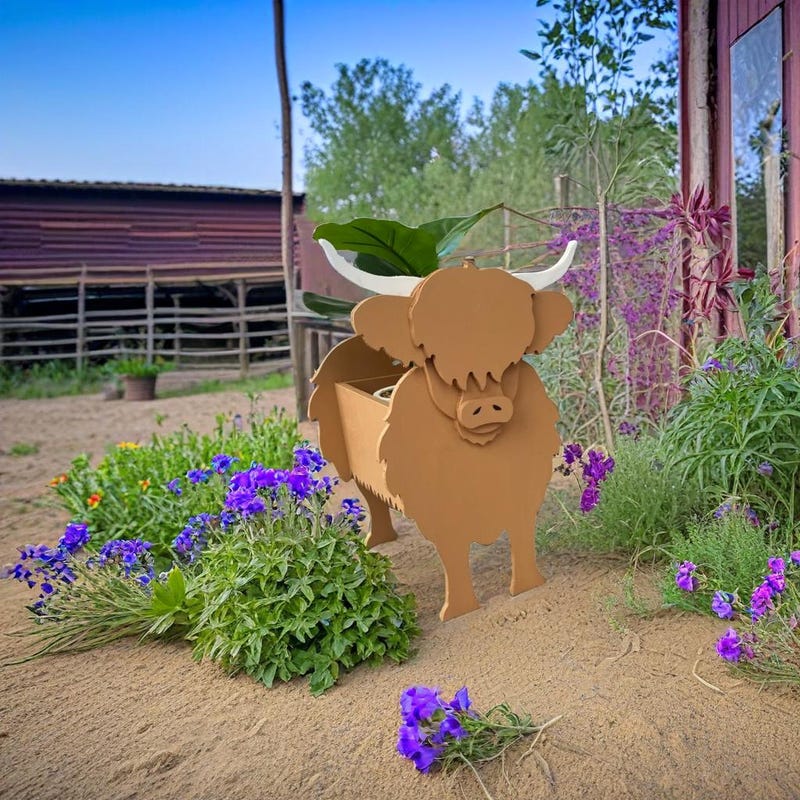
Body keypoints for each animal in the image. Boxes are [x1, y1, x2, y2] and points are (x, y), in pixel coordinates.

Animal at [309, 240, 576, 620]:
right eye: (432, 358)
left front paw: (527, 586)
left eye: (514, 360)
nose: (486, 406)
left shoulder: (524, 495)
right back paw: (376, 542)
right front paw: (459, 610)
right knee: (372, 502)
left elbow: (523, 543)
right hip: (353, 467)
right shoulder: (439, 513)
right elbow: (454, 560)